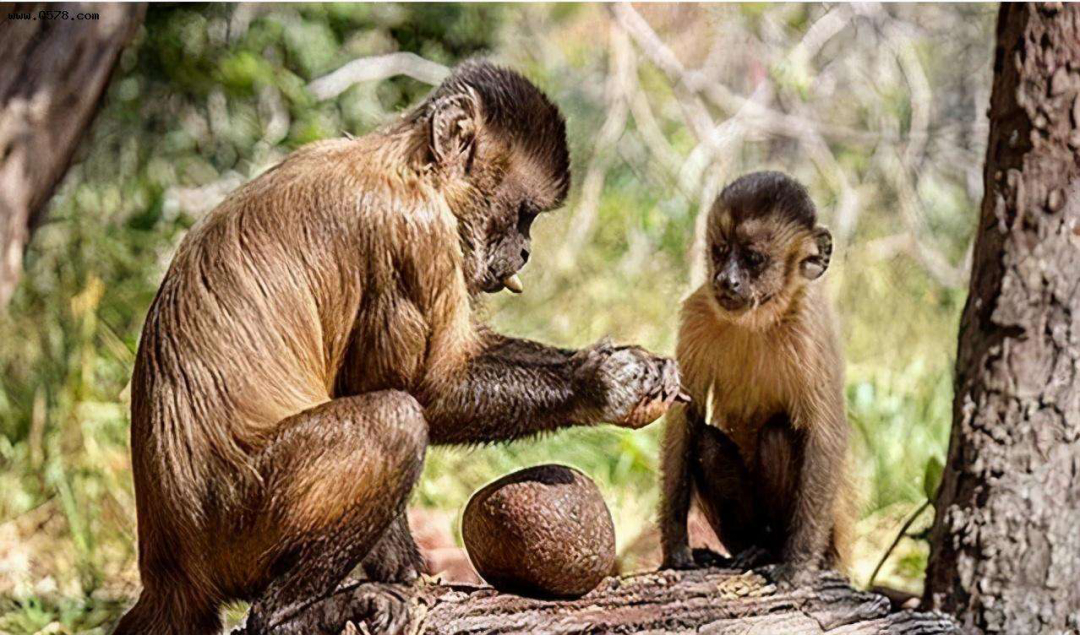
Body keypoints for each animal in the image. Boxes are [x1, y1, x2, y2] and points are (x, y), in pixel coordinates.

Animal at [114, 60, 683, 635]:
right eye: (525, 214)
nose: (525, 250)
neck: (408, 166)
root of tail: (168, 567)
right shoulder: (412, 232)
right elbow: (421, 389)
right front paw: (601, 384)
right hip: (235, 526)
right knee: (396, 417)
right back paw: (288, 615)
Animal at [658, 171, 854, 586]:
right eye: (720, 250)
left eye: (752, 259)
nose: (725, 280)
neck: (759, 319)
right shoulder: (698, 313)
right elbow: (685, 418)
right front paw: (676, 549)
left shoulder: (809, 330)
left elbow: (826, 436)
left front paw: (796, 566)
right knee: (707, 443)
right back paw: (752, 547)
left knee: (778, 434)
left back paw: (777, 551)